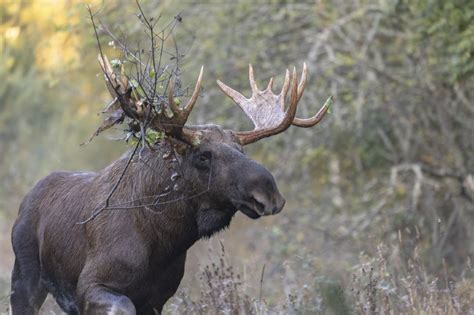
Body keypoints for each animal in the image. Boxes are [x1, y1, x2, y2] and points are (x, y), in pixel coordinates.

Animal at [11, 55, 330, 314]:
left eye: (242, 150)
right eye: (203, 155)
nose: (269, 194)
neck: (164, 240)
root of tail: (25, 201)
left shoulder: (158, 298)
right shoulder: (91, 284)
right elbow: (121, 305)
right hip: (25, 276)